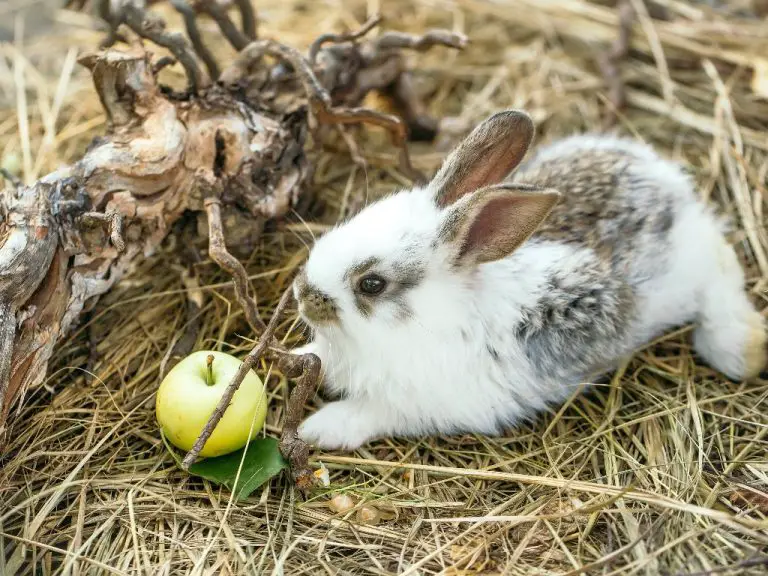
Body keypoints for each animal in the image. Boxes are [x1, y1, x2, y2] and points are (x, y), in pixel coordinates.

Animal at [290, 109, 768, 451]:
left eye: (372, 284)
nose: (302, 293)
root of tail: (668, 183)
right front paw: (295, 358)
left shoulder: (421, 406)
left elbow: (366, 414)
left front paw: (318, 430)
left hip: (695, 272)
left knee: (723, 271)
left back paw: (742, 349)